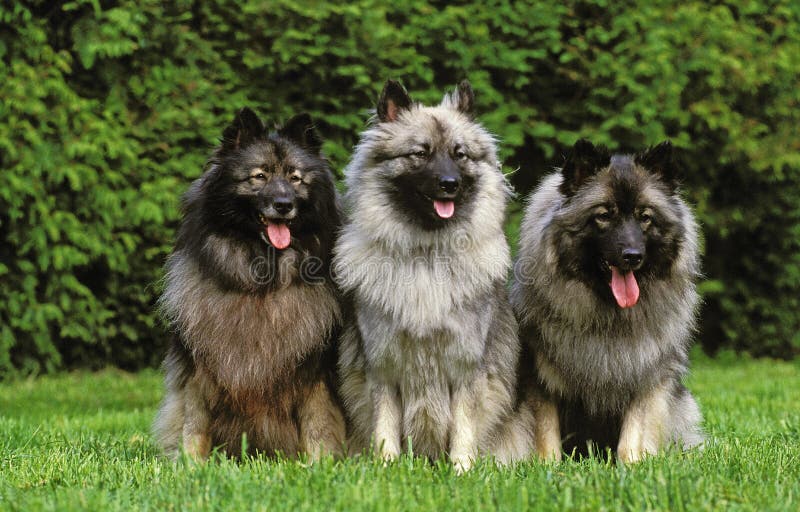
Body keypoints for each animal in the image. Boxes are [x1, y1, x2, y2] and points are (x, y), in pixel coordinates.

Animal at [152, 108, 345, 460]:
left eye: (295, 178)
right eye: (259, 176)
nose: (284, 204)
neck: (262, 282)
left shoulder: (316, 375)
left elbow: (318, 427)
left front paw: (320, 464)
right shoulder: (200, 371)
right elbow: (194, 425)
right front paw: (191, 464)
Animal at [334, 80, 522, 471]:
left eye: (459, 154)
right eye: (420, 153)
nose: (450, 183)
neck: (426, 254)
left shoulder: (466, 367)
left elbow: (464, 426)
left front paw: (462, 470)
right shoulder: (383, 367)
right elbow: (384, 426)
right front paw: (387, 468)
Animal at [511, 139, 704, 462]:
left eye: (644, 217)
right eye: (604, 216)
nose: (632, 256)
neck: (609, 314)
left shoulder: (645, 375)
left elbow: (634, 432)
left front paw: (633, 464)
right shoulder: (540, 376)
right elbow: (546, 432)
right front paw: (547, 466)